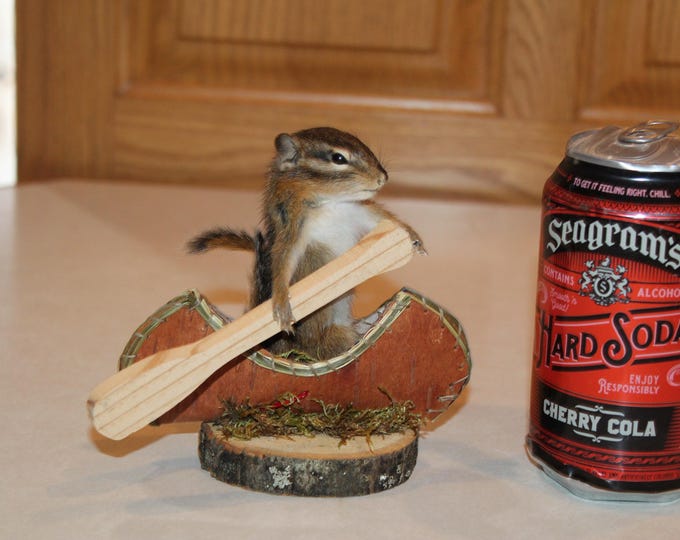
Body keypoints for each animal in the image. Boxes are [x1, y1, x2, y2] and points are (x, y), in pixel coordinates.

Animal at [187, 127, 425, 360]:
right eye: (338, 158)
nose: (383, 177)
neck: (332, 203)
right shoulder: (292, 227)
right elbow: (283, 262)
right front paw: (282, 304)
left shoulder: (359, 212)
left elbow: (384, 220)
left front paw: (414, 237)